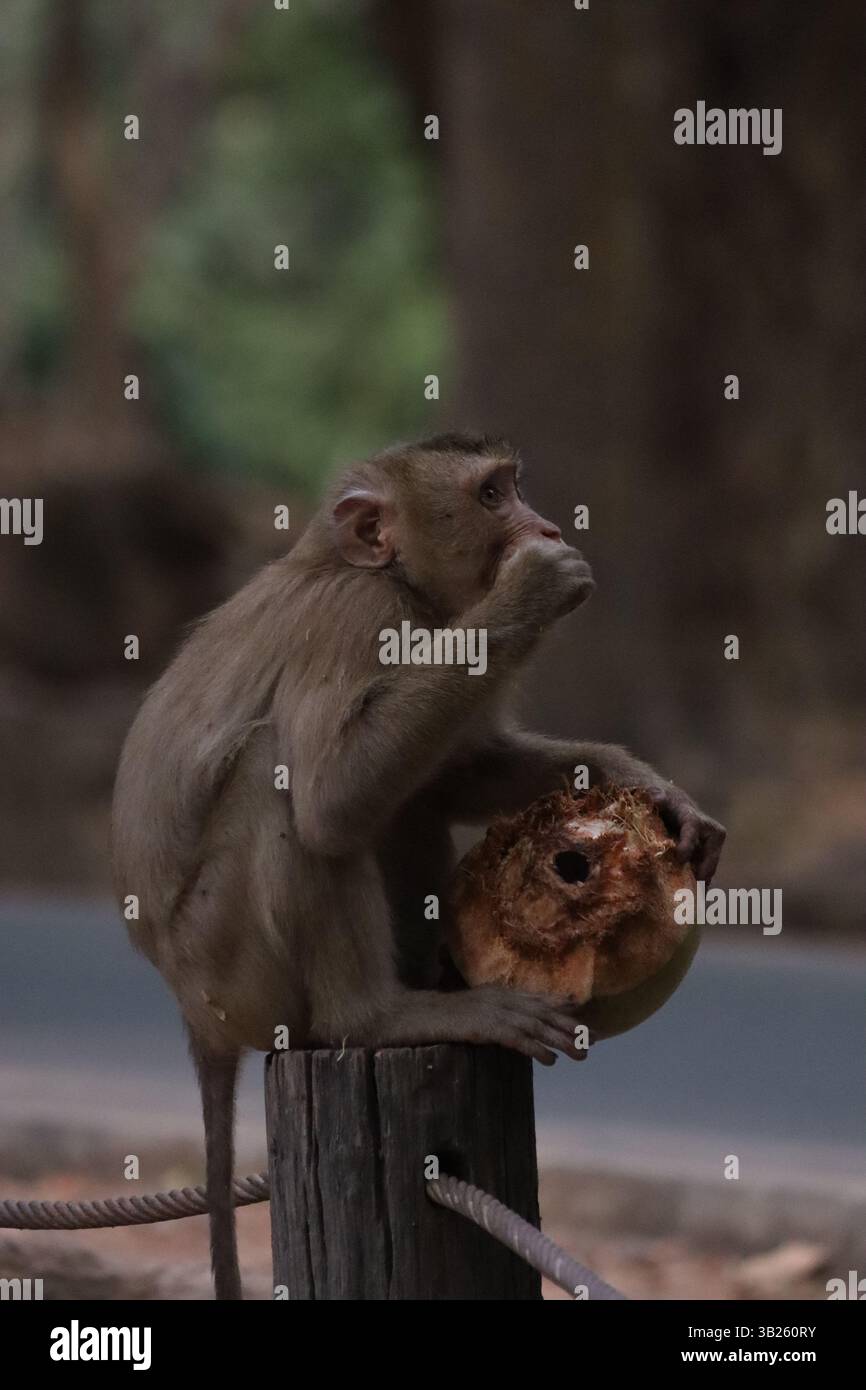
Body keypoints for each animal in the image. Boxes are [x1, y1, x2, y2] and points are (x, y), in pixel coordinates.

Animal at [111, 432, 726, 1299]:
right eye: (493, 496)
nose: (546, 524)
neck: (381, 574)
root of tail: (194, 1017)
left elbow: (455, 772)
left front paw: (645, 784)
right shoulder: (359, 618)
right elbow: (333, 798)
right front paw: (534, 589)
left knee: (407, 799)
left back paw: (435, 976)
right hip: (231, 971)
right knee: (283, 780)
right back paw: (379, 1015)